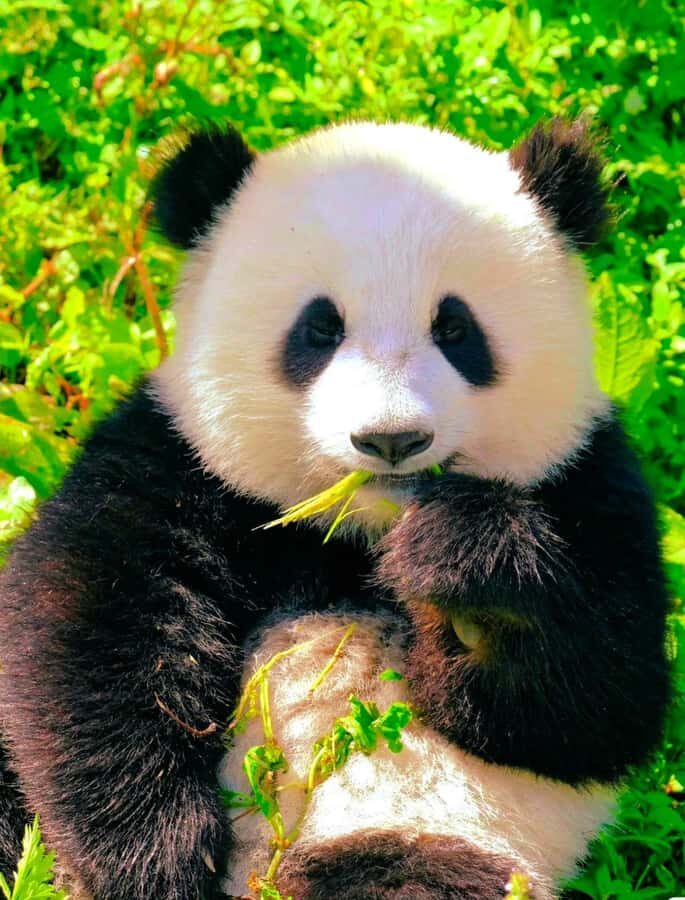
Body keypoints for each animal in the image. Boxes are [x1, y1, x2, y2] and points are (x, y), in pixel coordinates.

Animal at [0, 118, 670, 900]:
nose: (391, 439)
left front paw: (463, 572)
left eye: (455, 329)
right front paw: (150, 860)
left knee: (412, 876)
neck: (352, 534)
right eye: (319, 329)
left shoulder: (589, 483)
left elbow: (597, 707)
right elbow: (88, 639)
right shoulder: (176, 463)